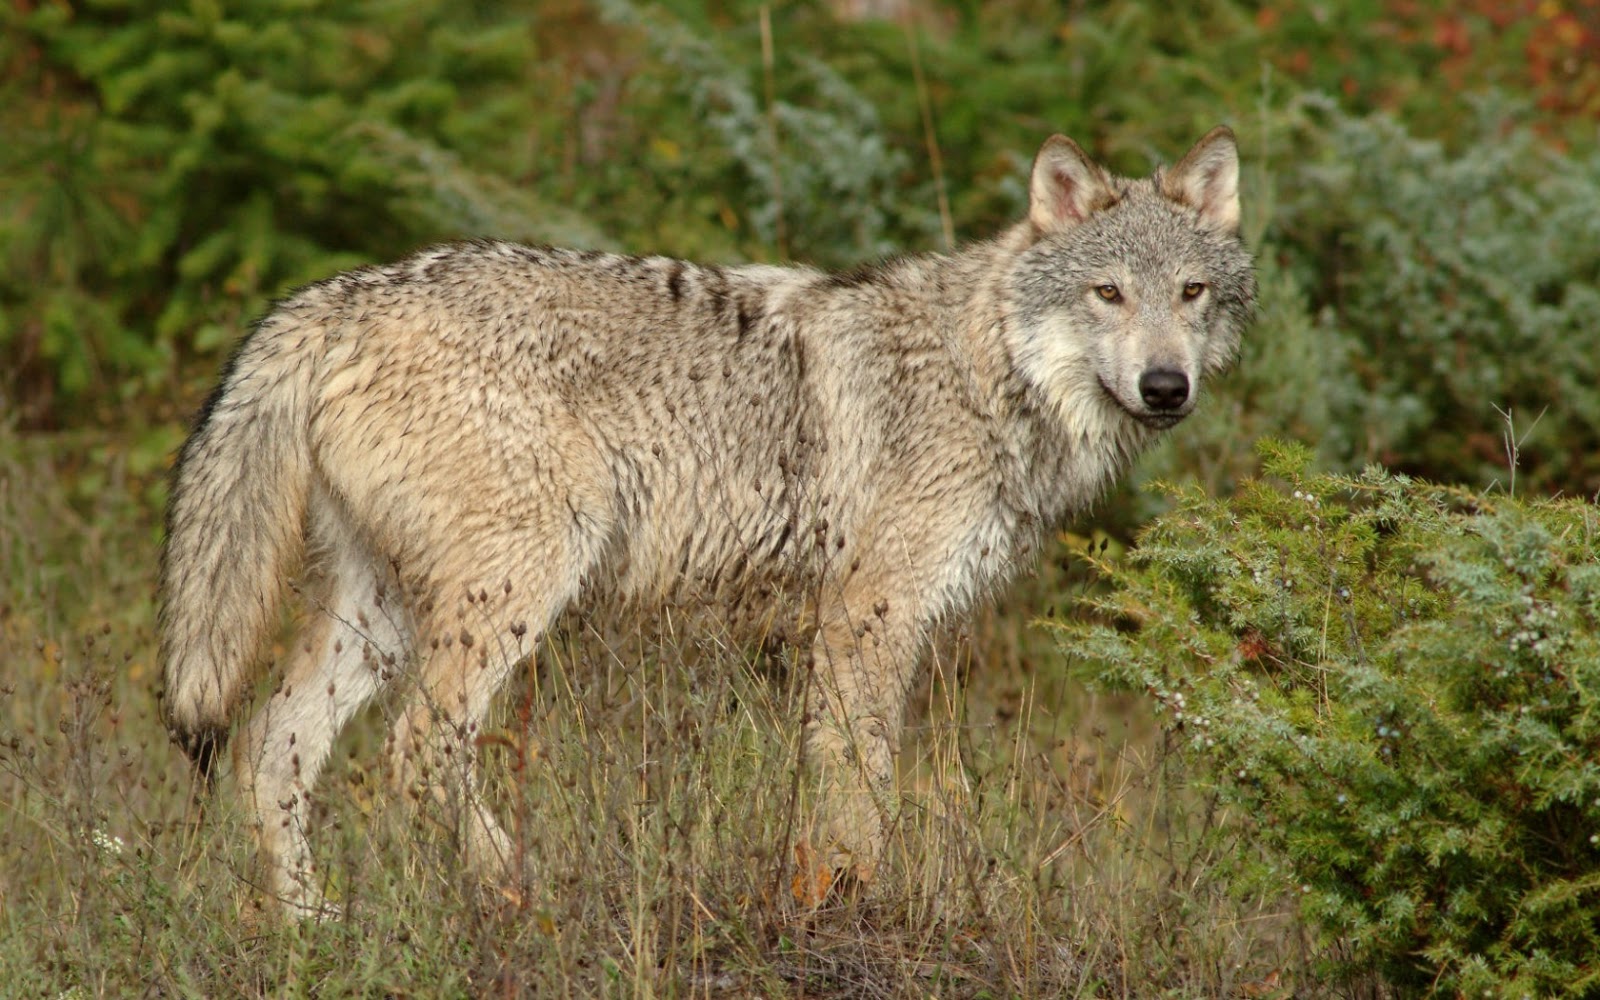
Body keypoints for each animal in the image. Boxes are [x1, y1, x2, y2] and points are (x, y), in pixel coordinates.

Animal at [160, 127, 1253, 916]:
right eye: (1106, 293)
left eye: (1190, 294)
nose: (1166, 387)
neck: (987, 373)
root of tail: (332, 298)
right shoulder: (868, 618)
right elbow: (861, 791)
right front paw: (852, 907)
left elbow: (825, 790)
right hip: (513, 590)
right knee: (417, 750)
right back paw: (511, 888)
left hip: (379, 618)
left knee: (267, 751)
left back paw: (313, 934)